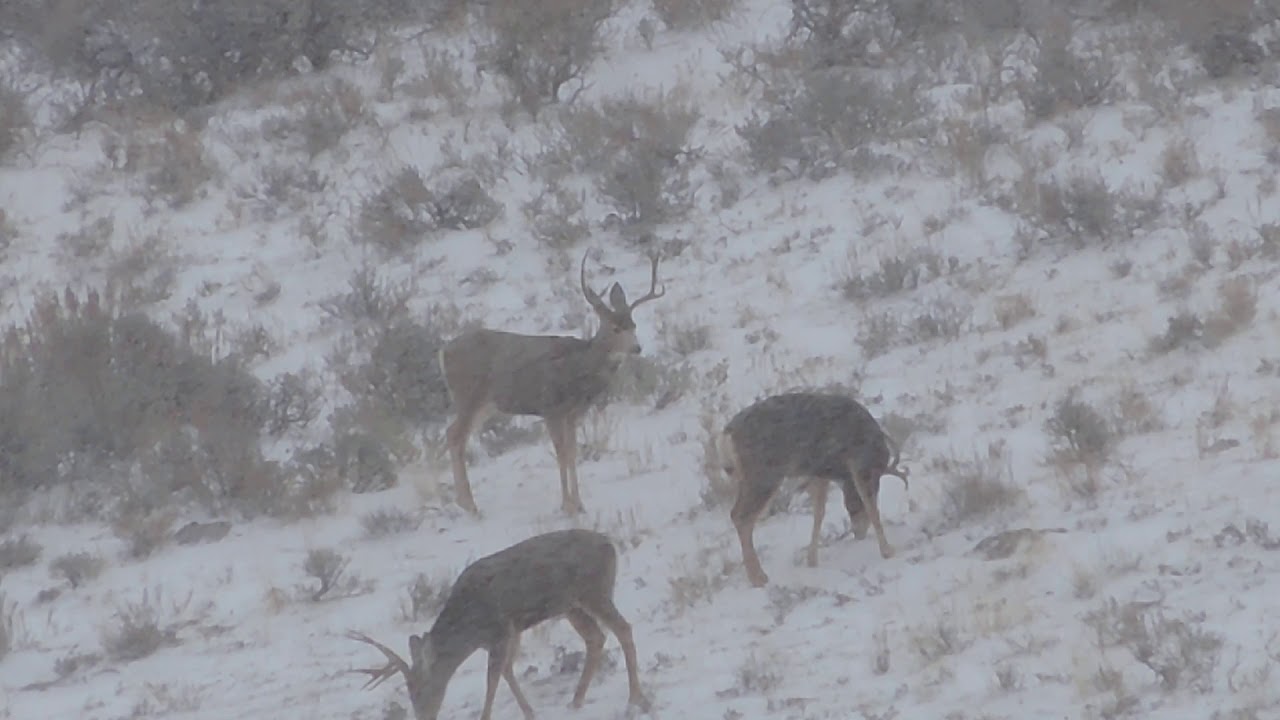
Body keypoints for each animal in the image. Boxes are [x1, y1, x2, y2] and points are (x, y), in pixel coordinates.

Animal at [347, 529, 649, 720]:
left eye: (419, 688)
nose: (423, 716)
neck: (468, 629)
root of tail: (610, 545)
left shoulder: (500, 630)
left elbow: (492, 678)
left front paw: (487, 716)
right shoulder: (509, 632)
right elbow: (506, 671)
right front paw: (529, 712)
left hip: (594, 591)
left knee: (623, 628)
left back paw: (634, 697)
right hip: (571, 606)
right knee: (596, 638)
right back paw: (576, 700)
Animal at [438, 251, 665, 516]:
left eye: (633, 325)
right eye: (616, 328)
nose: (637, 348)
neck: (580, 369)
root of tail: (443, 351)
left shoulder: (573, 414)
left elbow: (573, 453)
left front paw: (579, 503)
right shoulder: (551, 409)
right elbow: (561, 454)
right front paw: (567, 505)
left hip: (486, 404)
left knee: (454, 434)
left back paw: (466, 503)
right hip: (468, 395)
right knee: (455, 435)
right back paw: (470, 505)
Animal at [718, 391, 910, 587]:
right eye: (855, 507)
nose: (859, 533)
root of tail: (727, 434)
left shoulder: (818, 473)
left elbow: (819, 513)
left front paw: (812, 561)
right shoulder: (859, 464)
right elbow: (872, 508)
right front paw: (888, 551)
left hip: (747, 478)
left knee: (739, 515)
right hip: (764, 475)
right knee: (741, 516)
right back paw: (758, 577)